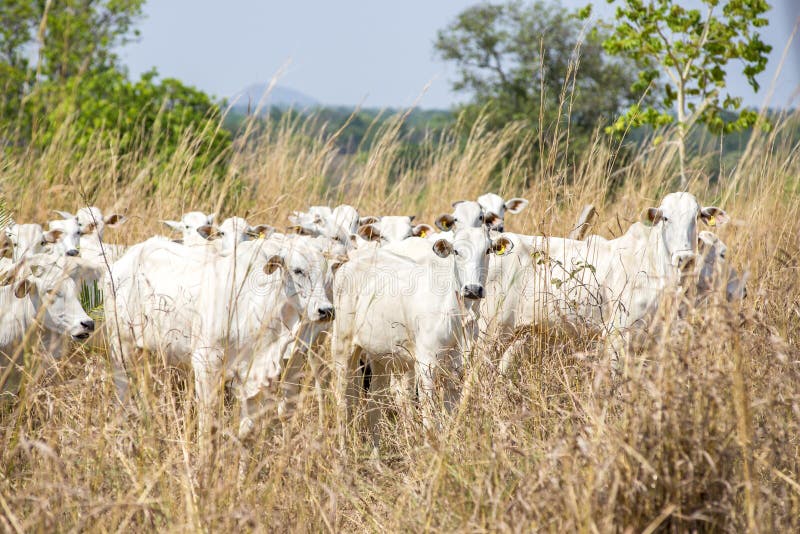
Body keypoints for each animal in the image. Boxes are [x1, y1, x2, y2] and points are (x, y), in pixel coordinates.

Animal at [332, 226, 513, 456]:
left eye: (488, 250)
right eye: (456, 251)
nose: (473, 289)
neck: (458, 315)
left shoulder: (457, 367)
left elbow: (450, 410)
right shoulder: (426, 364)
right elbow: (428, 409)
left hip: (380, 357)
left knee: (375, 400)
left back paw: (376, 455)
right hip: (343, 346)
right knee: (343, 399)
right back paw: (343, 451)